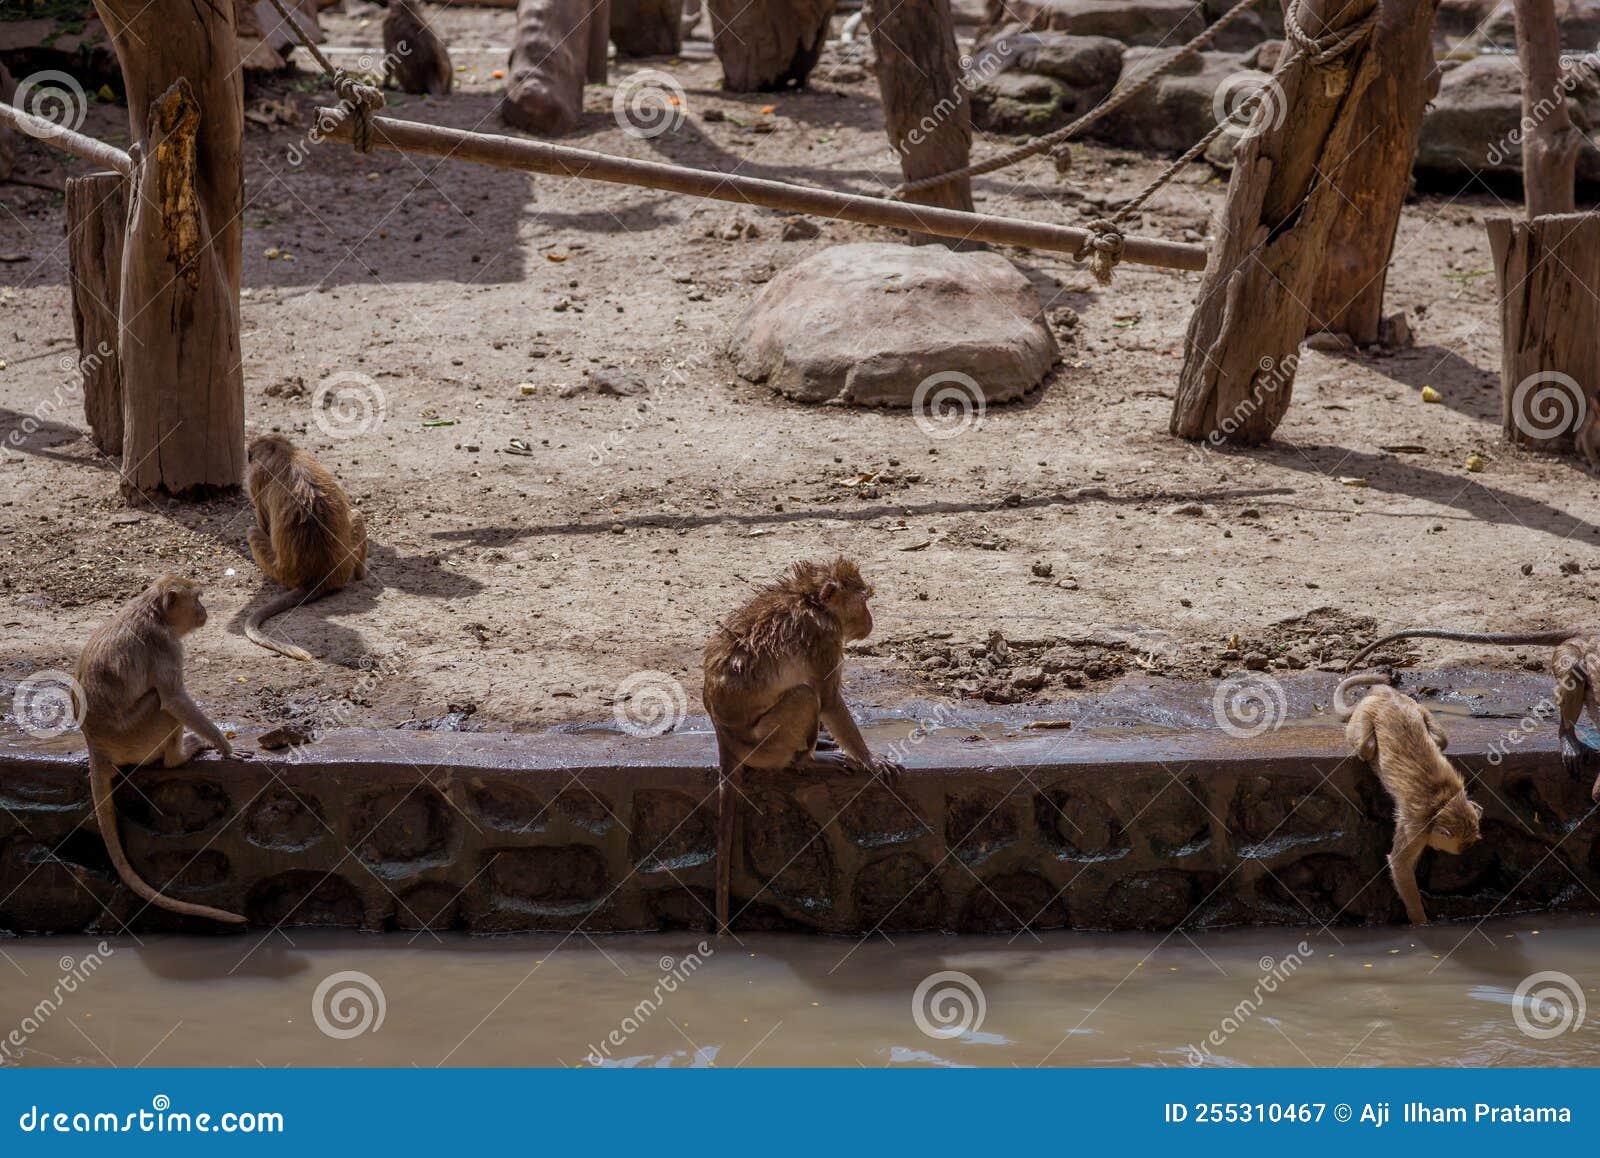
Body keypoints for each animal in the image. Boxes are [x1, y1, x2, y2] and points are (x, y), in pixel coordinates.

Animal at [75, 575, 246, 925]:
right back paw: (178, 757)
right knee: (161, 703)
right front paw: (225, 747)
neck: (153, 613)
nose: (205, 611)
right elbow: (174, 699)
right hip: (138, 737)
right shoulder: (165, 646)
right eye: (197, 599)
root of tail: (96, 747)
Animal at [245, 434, 369, 663]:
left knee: (252, 532)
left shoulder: (256, 478)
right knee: (356, 515)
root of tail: (316, 579)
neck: (282, 450)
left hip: (281, 571)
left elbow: (262, 524)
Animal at [702, 557, 904, 932]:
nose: (870, 621)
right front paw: (870, 761)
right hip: (765, 744)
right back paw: (807, 762)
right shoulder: (823, 639)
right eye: (863, 601)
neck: (811, 601)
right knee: (805, 696)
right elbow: (829, 700)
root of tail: (724, 736)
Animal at [1335, 671, 1483, 926]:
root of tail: (1389, 695)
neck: (1444, 803)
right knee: (1366, 747)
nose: (1464, 854)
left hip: (1416, 707)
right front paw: (1420, 921)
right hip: (1365, 712)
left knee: (1441, 740)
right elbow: (1400, 864)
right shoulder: (1417, 825)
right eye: (1460, 847)